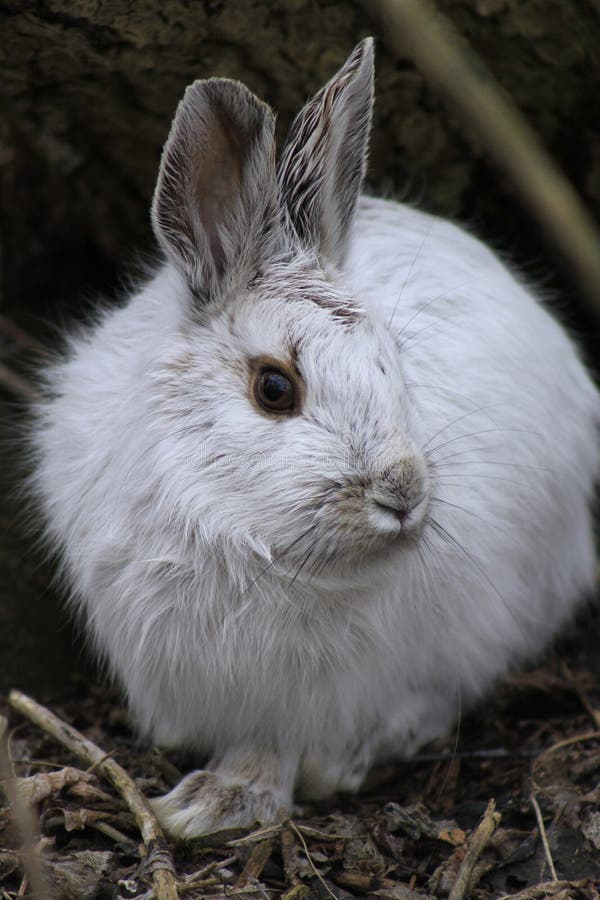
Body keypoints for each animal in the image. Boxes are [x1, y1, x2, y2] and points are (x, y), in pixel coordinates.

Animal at [30, 37, 599, 838]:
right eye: (275, 389)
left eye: (393, 361)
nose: (403, 493)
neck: (240, 531)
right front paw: (211, 801)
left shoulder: (326, 690)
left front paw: (225, 800)